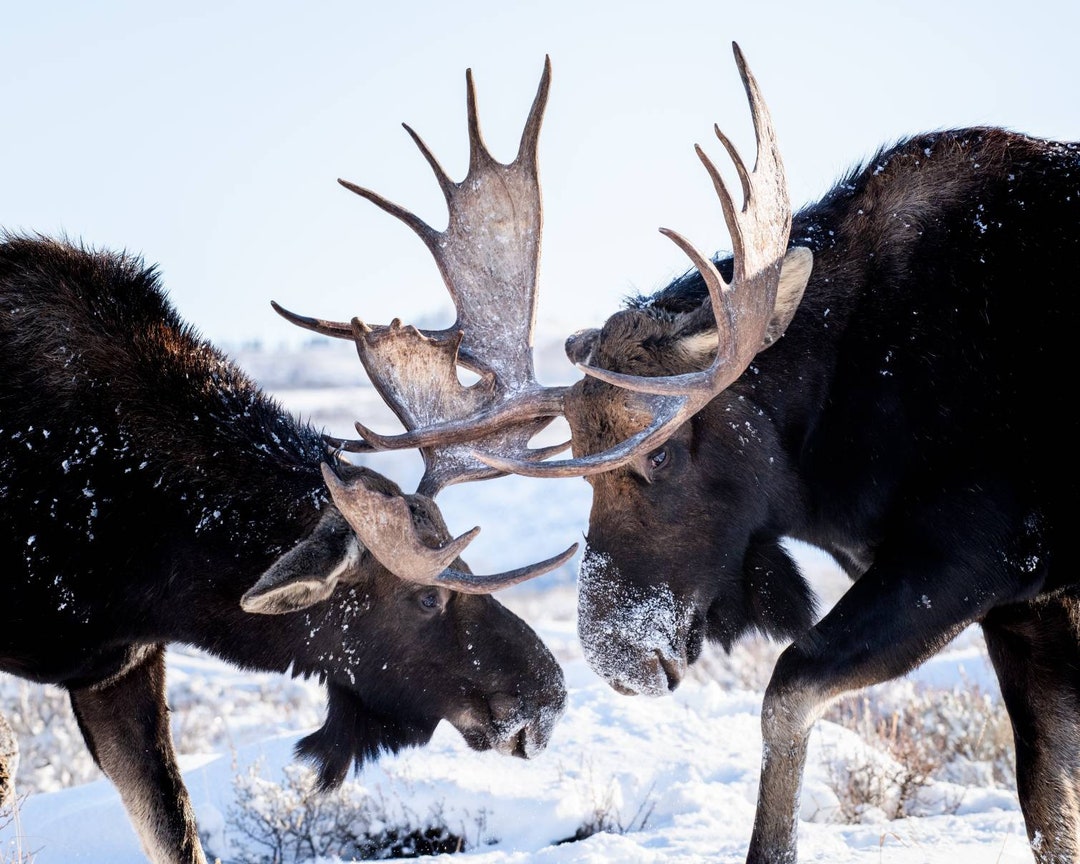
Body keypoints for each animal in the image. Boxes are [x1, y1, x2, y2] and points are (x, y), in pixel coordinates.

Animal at [365, 44, 1078, 864]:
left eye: (662, 455)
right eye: (583, 460)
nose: (618, 658)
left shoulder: (974, 554)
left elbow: (787, 692)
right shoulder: (1028, 606)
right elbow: (1048, 807)